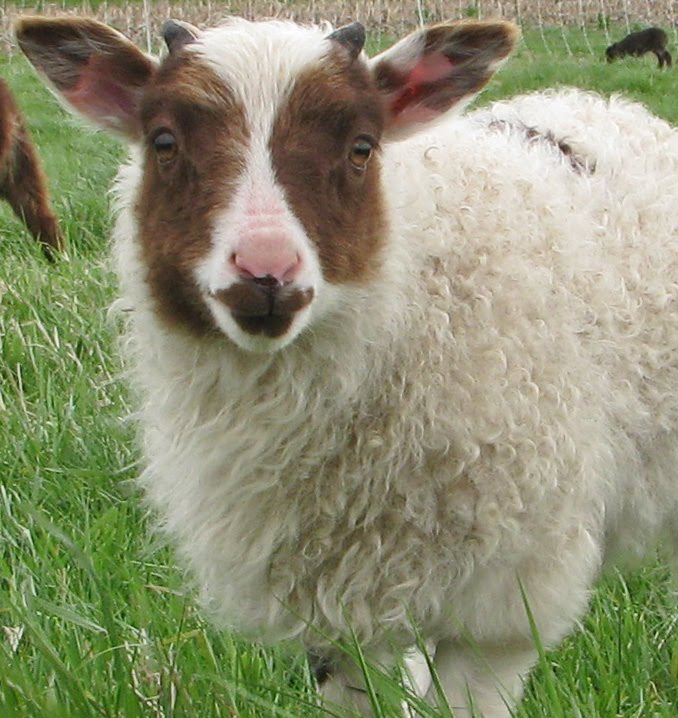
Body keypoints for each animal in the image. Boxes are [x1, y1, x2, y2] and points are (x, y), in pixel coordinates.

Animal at [16, 14, 678, 718]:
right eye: (163, 141)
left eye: (362, 147)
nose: (266, 271)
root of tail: (606, 106)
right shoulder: (336, 597)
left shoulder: (502, 600)